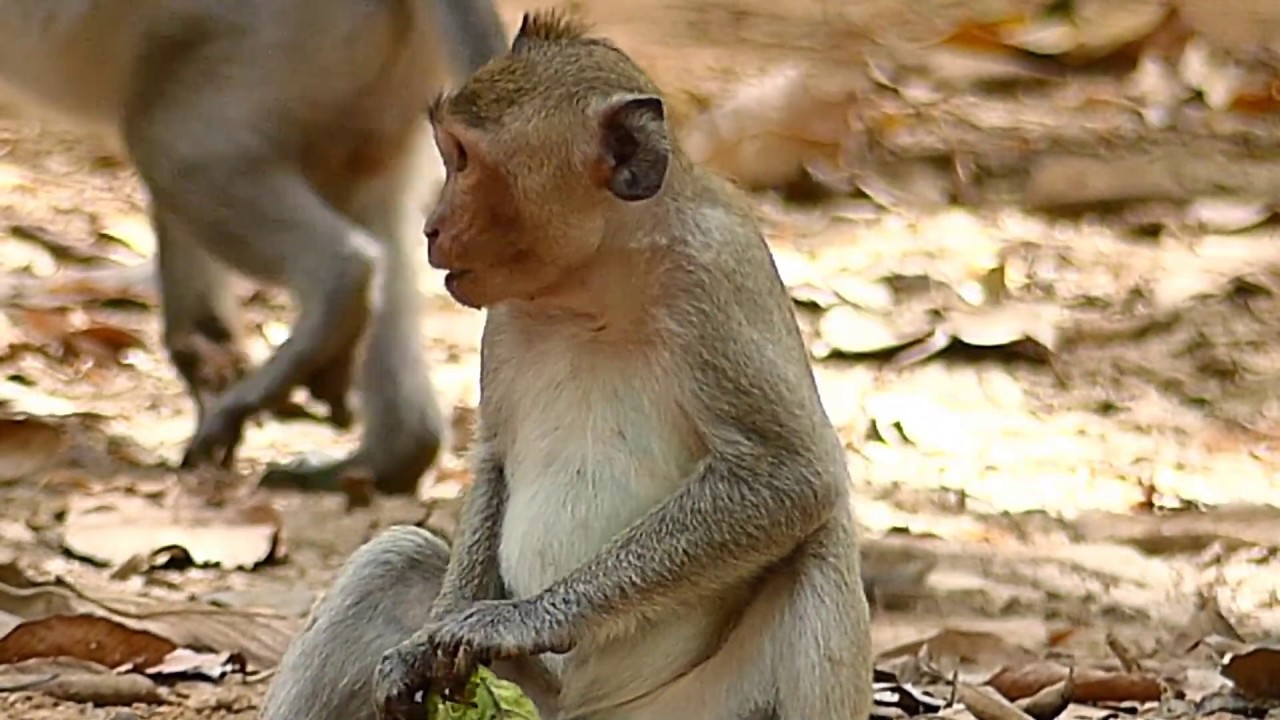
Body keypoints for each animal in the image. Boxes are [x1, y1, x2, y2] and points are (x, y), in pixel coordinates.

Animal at [260, 10, 874, 720]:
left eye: (465, 159)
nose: (431, 227)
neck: (593, 288)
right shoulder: (501, 322)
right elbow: (494, 461)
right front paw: (418, 650)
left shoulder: (717, 276)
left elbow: (792, 476)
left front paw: (525, 617)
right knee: (397, 555)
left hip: (688, 708)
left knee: (816, 547)